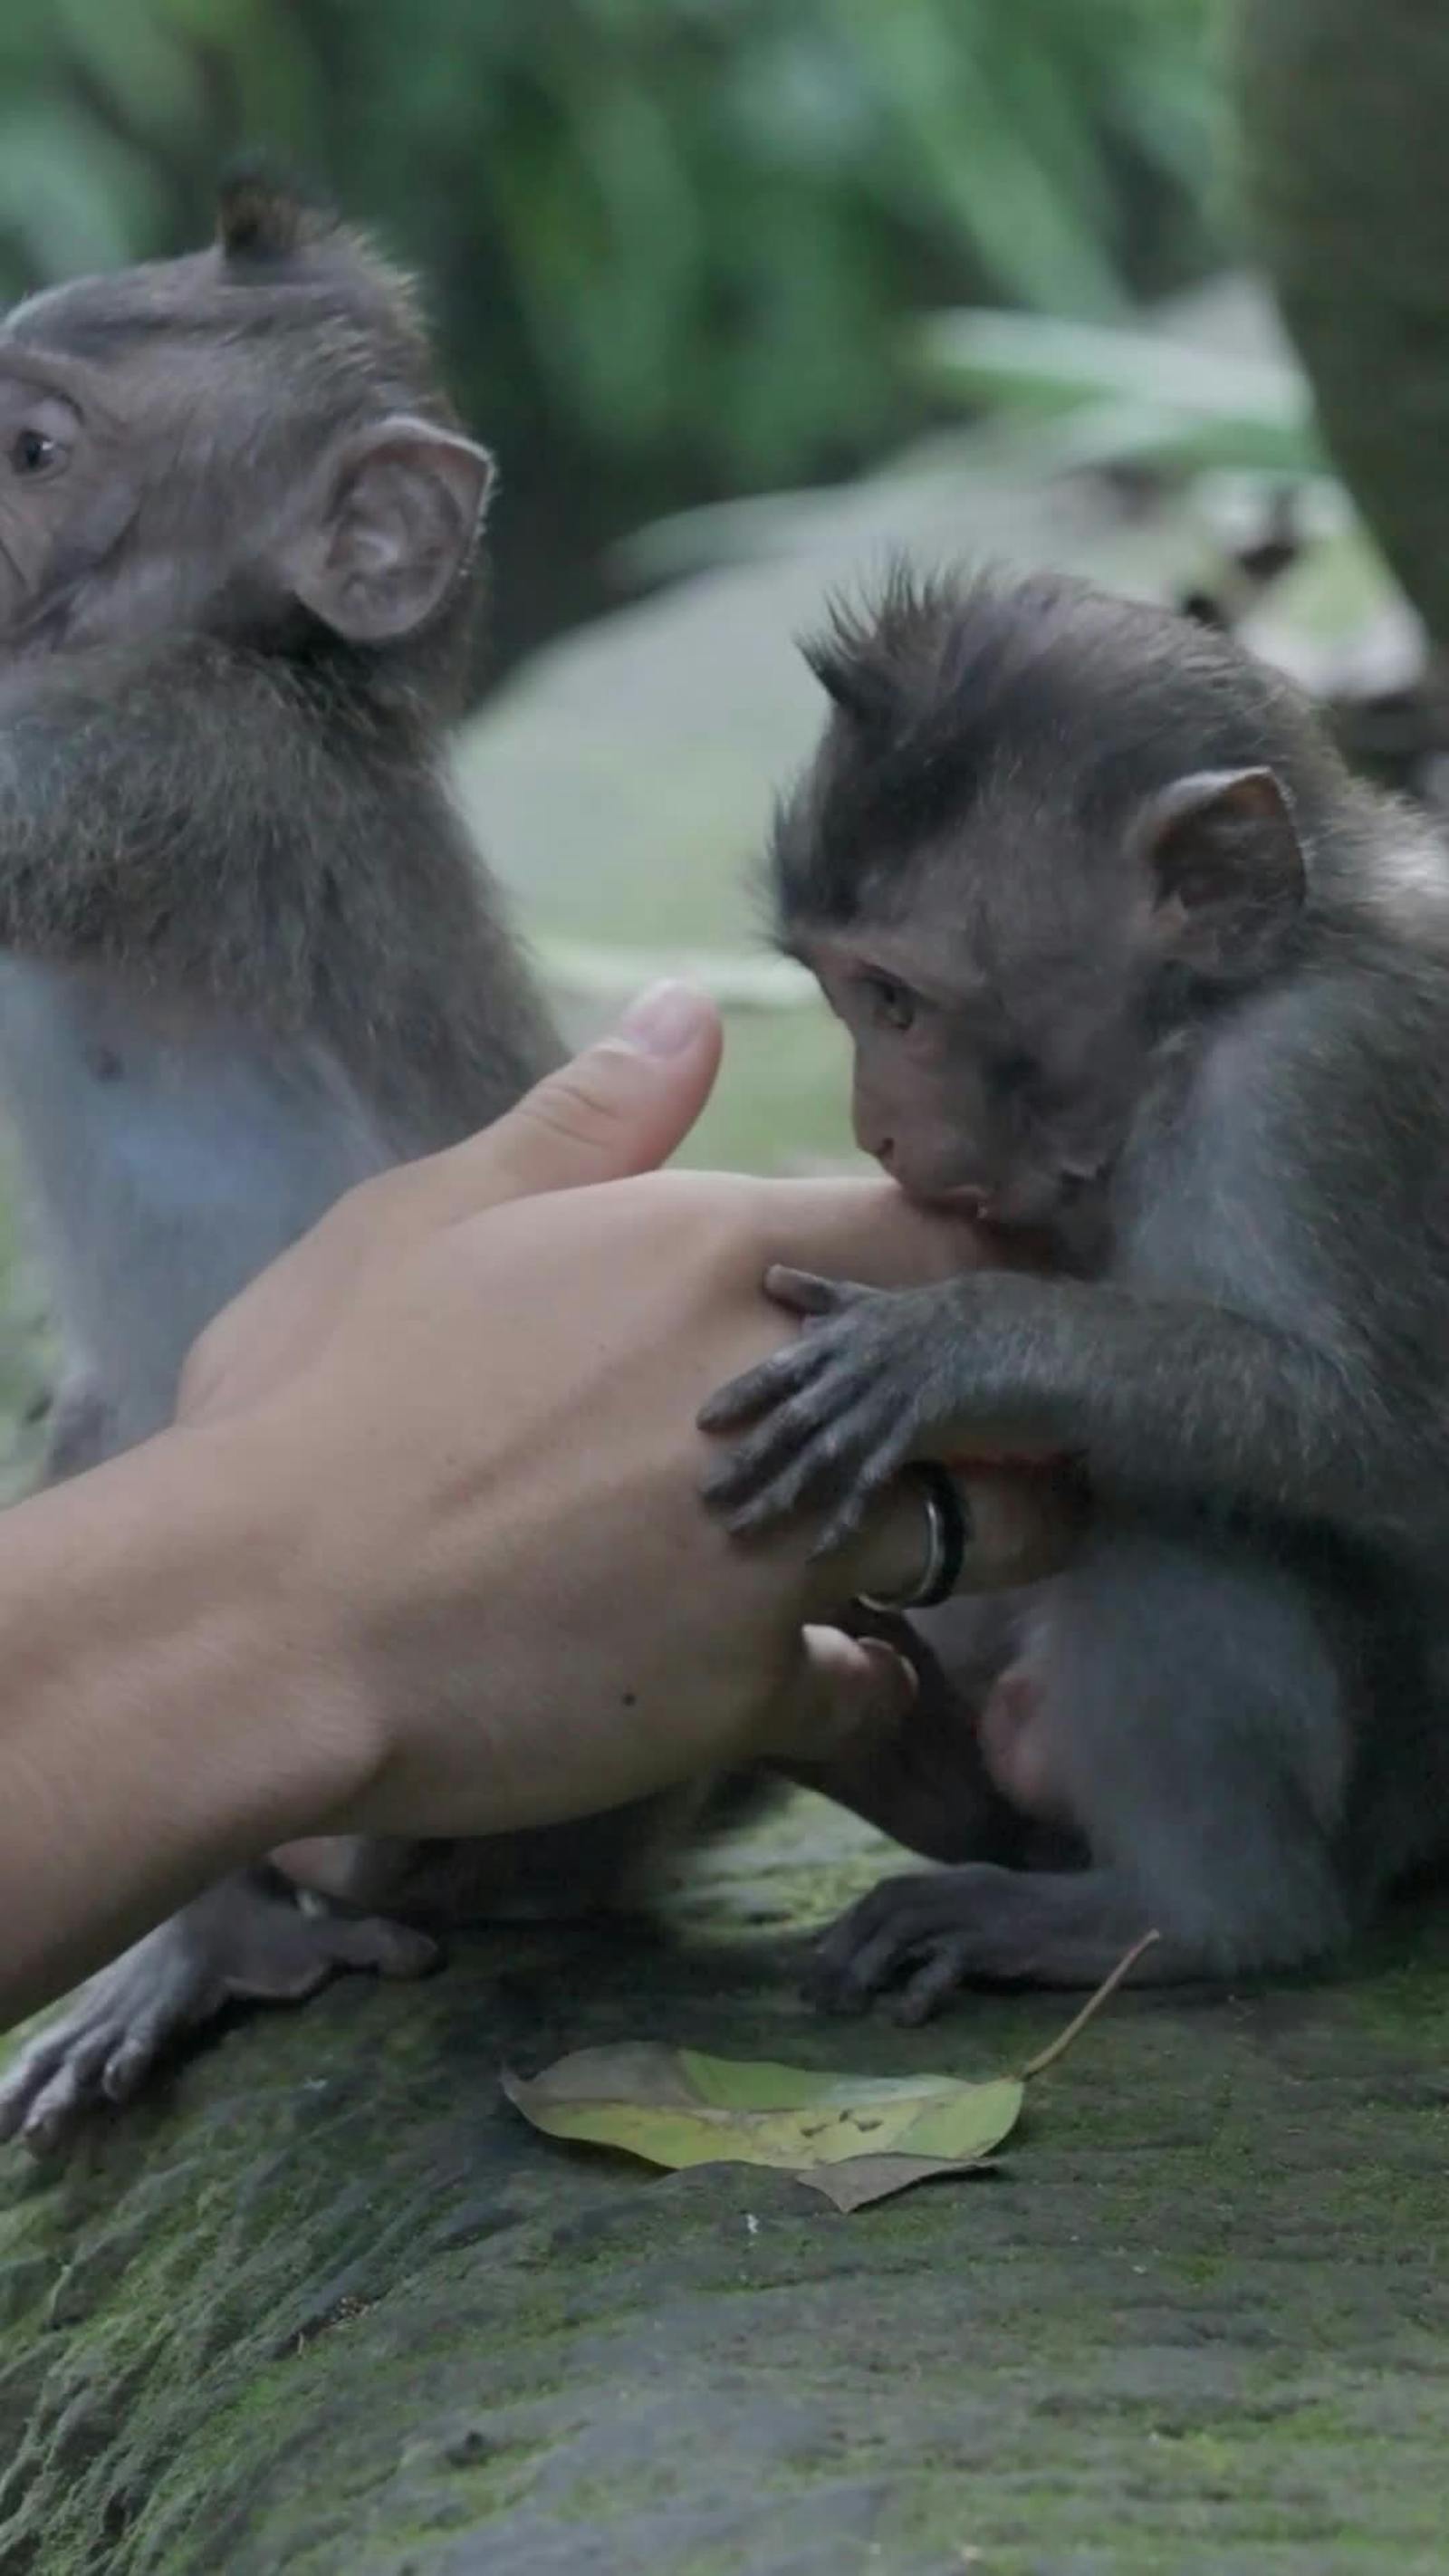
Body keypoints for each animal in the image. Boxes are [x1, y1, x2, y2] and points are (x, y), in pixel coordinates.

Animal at [698, 562, 1449, 2018]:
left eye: (897, 1002)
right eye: (837, 995)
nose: (875, 1130)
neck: (1211, 1018)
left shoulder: (1313, 1088)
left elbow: (1387, 1444)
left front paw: (964, 1345)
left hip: (1383, 1801)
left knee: (1174, 1511)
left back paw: (1190, 1921)